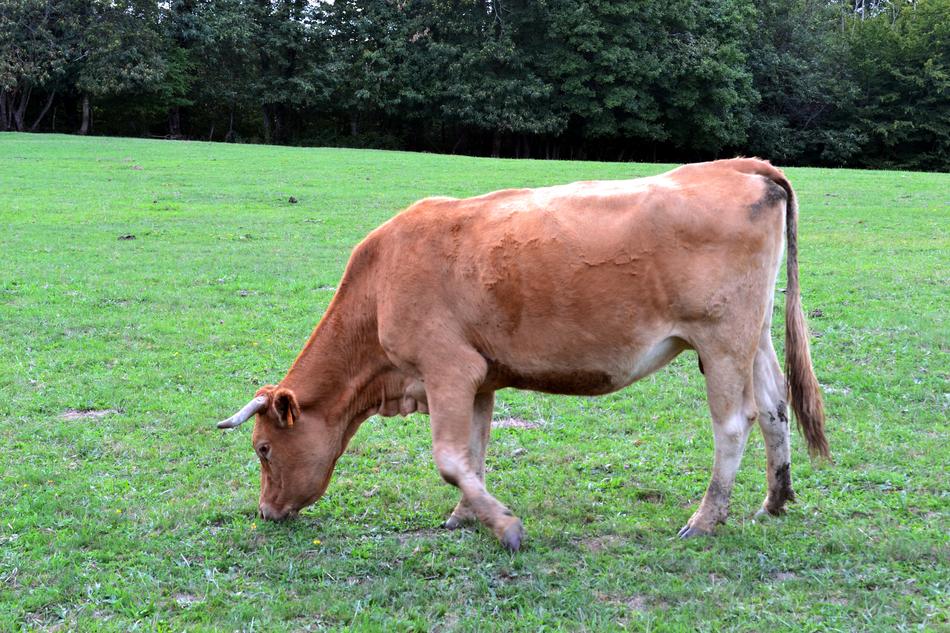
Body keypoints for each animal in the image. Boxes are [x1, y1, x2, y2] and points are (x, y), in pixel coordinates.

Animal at [217, 158, 828, 552]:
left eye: (264, 449)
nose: (266, 512)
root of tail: (740, 166)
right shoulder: (480, 378)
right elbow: (475, 451)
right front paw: (466, 515)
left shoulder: (448, 368)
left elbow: (450, 458)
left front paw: (505, 527)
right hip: (754, 333)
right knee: (774, 406)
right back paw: (774, 500)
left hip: (720, 338)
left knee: (734, 422)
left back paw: (705, 519)